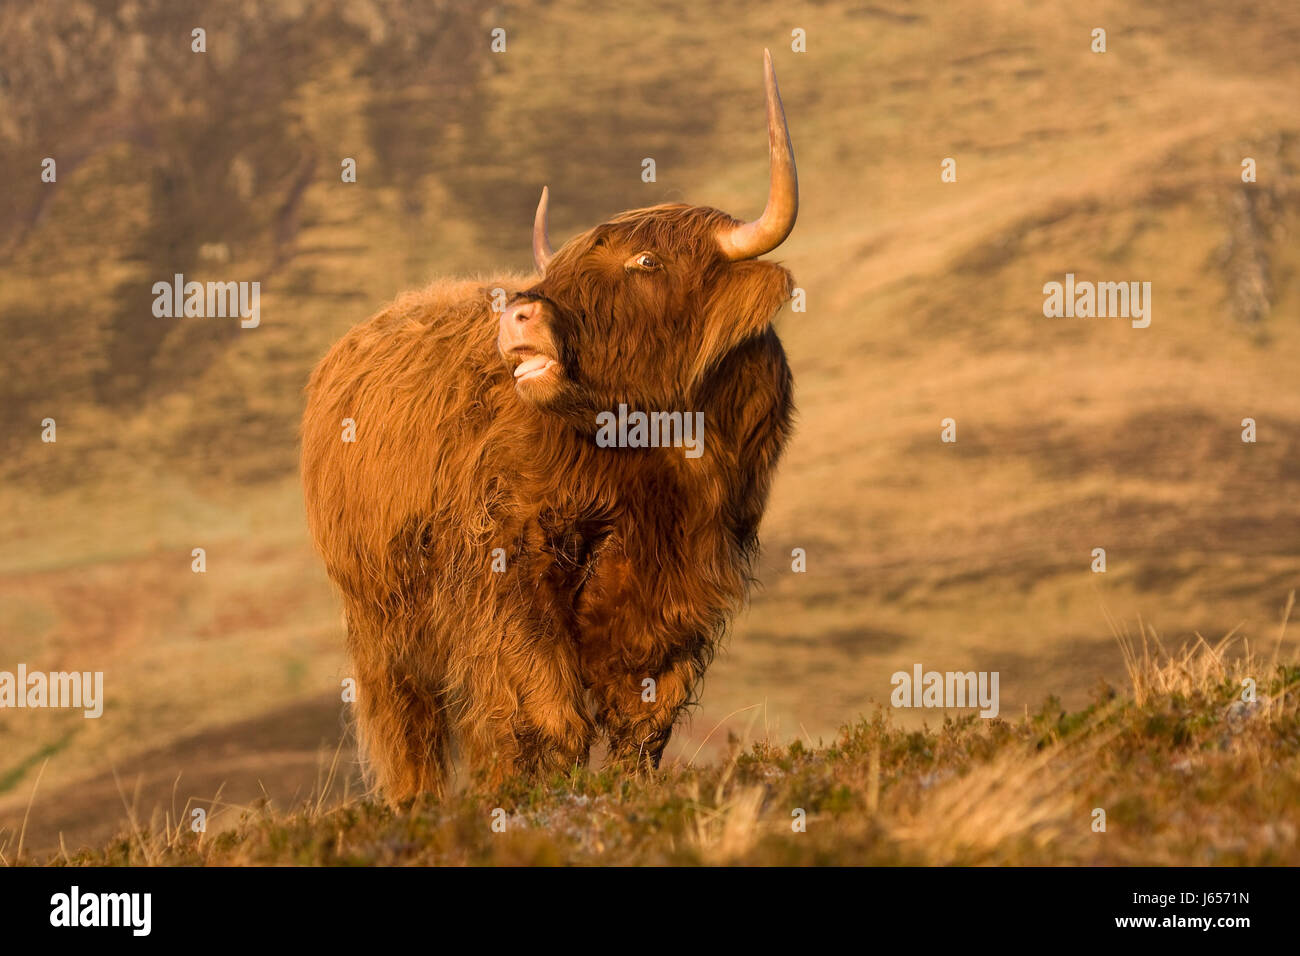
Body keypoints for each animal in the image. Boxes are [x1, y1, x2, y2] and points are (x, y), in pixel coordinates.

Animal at [301, 50, 799, 802]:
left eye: (647, 261)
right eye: (563, 264)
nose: (519, 315)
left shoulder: (686, 582)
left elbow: (646, 708)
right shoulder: (506, 560)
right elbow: (541, 704)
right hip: (379, 616)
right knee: (408, 724)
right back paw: (418, 802)